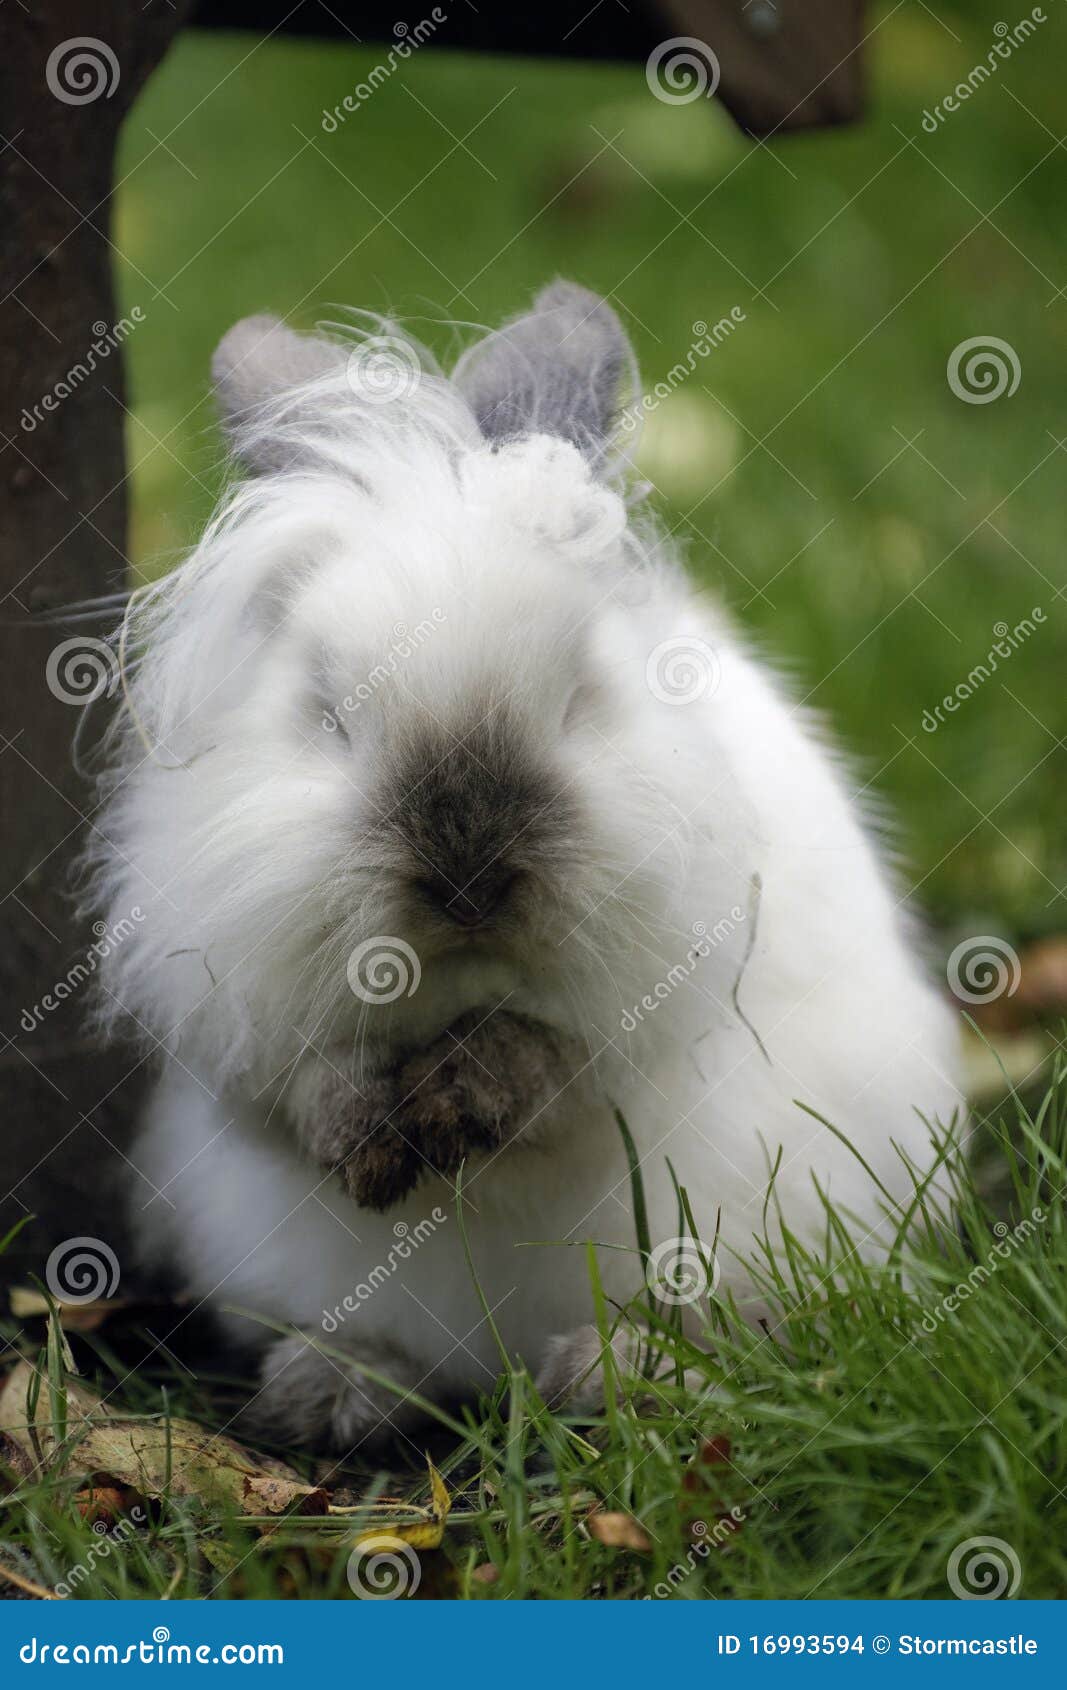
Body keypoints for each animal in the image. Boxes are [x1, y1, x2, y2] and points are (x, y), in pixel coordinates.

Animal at [83, 282, 964, 1452]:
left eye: (581, 697)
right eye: (326, 711)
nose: (464, 871)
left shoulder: (636, 1033)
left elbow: (554, 1070)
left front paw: (457, 1100)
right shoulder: (232, 1030)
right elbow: (297, 1087)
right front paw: (368, 1141)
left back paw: (614, 1374)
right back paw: (336, 1388)